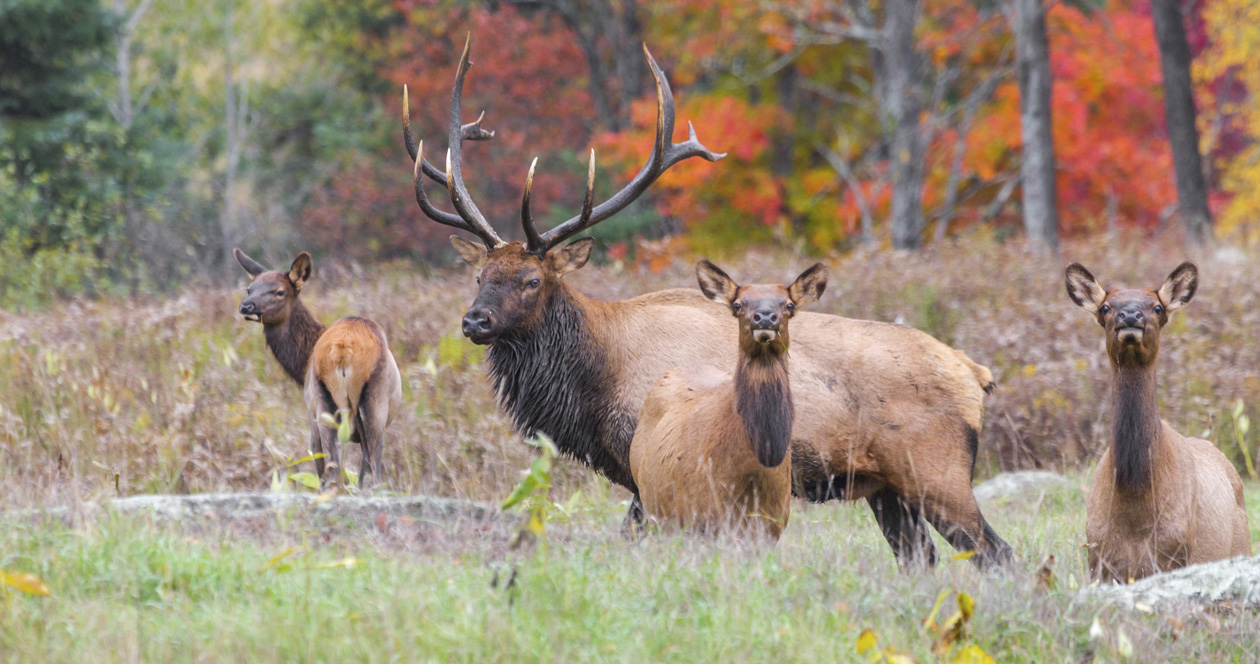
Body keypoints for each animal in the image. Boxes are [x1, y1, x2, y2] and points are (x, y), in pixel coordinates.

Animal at [234, 249, 403, 488]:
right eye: (250, 288)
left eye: (279, 291)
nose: (246, 306)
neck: (302, 363)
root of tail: (343, 350)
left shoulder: (309, 409)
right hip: (369, 408)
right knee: (368, 474)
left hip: (326, 406)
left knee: (335, 471)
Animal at [1065, 262, 1250, 582]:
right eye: (1105, 307)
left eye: (1157, 307)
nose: (1130, 315)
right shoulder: (1098, 560)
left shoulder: (1175, 556)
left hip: (1243, 545)